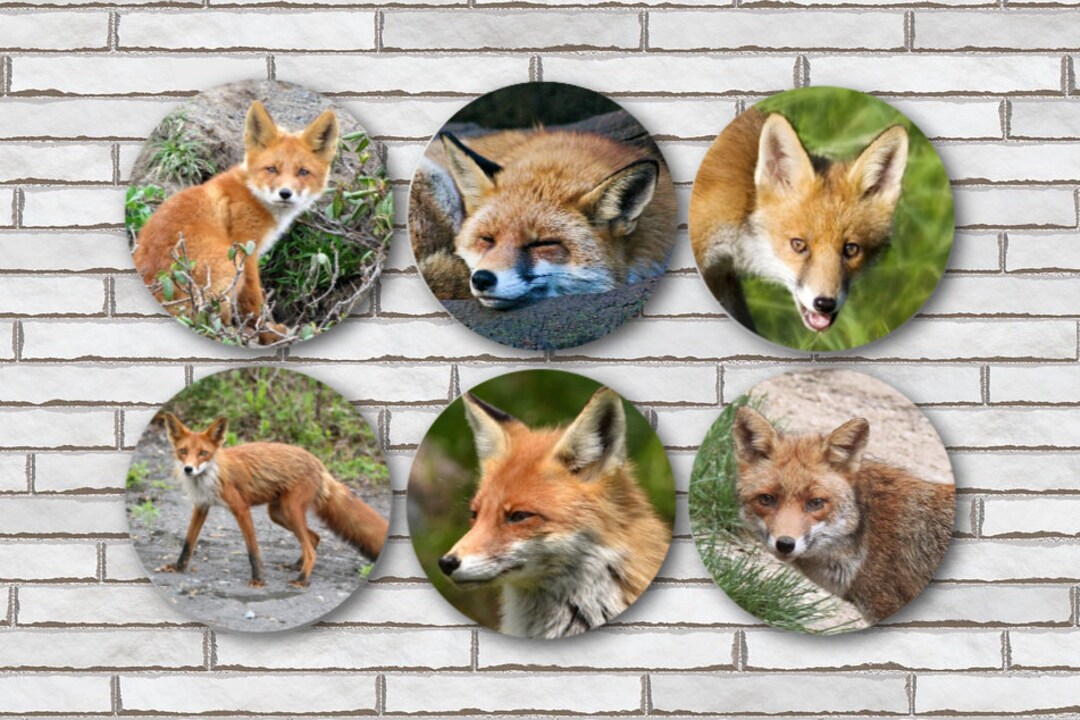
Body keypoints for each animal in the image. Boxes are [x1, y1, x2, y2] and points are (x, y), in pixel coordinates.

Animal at [133, 101, 339, 344]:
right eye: (272, 169)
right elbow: (254, 299)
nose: (285, 193)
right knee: (213, 320)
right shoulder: (245, 249)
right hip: (228, 265)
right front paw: (268, 332)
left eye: (303, 172)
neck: (252, 193)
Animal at [157, 412, 387, 589]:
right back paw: (297, 566)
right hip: (278, 513)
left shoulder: (241, 508)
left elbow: (253, 550)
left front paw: (258, 579)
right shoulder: (201, 506)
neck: (210, 476)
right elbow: (188, 543)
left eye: (203, 453)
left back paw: (302, 579)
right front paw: (178, 568)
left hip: (290, 510)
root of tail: (319, 464)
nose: (188, 469)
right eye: (183, 451)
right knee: (314, 538)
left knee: (311, 549)